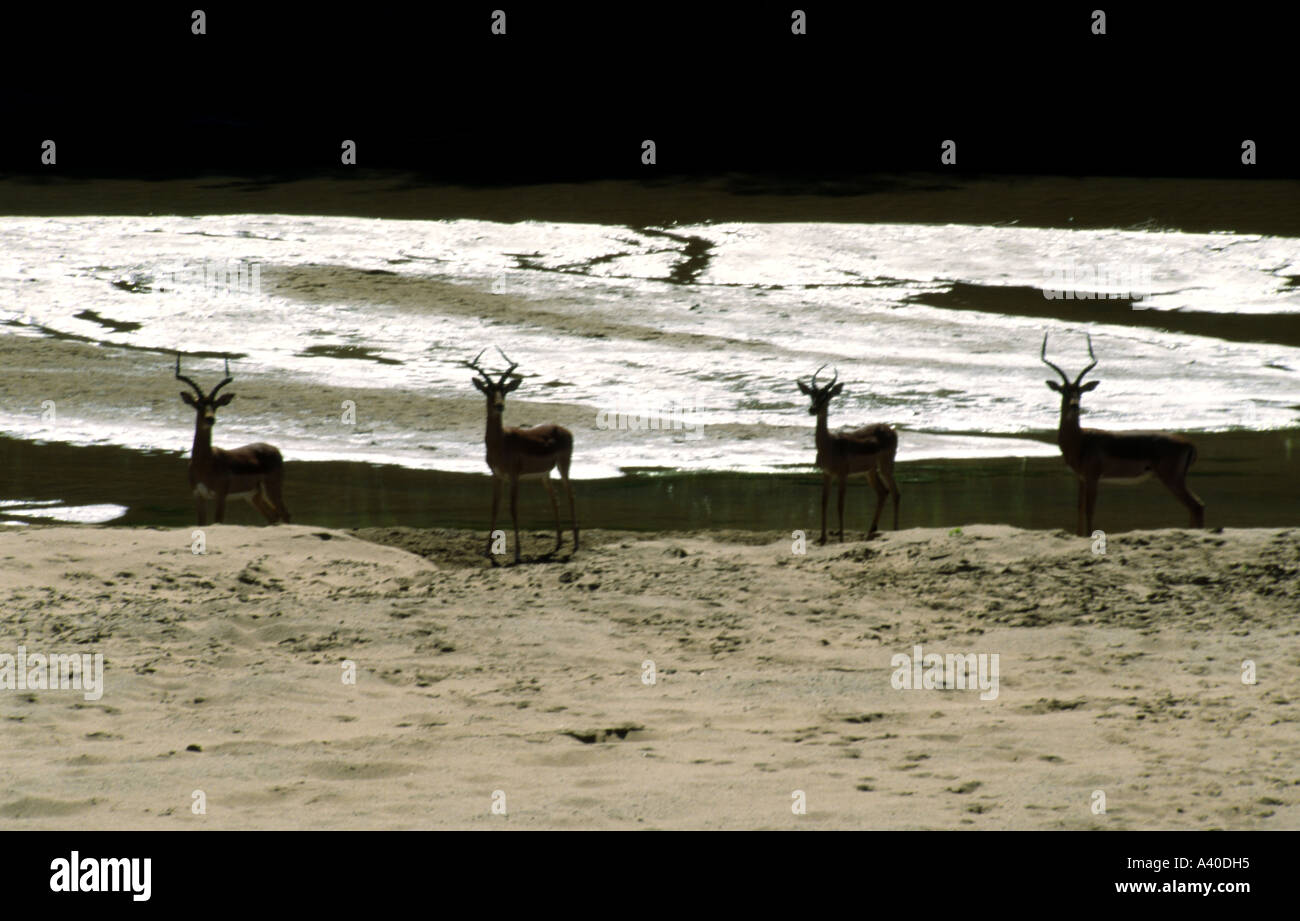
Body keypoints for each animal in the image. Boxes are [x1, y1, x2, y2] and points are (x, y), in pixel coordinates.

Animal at [175, 354, 290, 525]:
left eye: (215, 405)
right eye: (198, 405)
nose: (210, 419)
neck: (205, 462)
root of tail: (275, 449)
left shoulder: (221, 495)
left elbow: (218, 521)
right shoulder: (198, 496)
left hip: (272, 488)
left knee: (285, 515)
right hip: (253, 495)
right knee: (274, 516)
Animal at [466, 348, 577, 564]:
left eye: (504, 390)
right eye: (488, 390)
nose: (499, 405)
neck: (501, 442)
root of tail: (564, 430)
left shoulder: (514, 476)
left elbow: (513, 508)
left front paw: (517, 554)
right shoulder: (497, 475)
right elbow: (494, 507)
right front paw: (487, 552)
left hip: (563, 466)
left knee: (570, 495)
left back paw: (576, 545)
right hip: (545, 474)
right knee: (555, 498)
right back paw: (558, 544)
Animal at [797, 365, 900, 544]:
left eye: (826, 396)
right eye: (812, 395)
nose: (812, 409)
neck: (829, 444)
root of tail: (891, 430)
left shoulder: (842, 474)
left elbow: (840, 504)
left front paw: (841, 538)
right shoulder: (827, 474)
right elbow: (824, 502)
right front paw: (822, 538)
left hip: (885, 467)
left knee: (895, 493)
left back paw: (894, 531)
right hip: (870, 472)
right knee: (883, 492)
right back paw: (870, 532)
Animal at [1040, 332, 1204, 536]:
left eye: (1080, 392)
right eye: (1063, 391)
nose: (1074, 406)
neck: (1081, 440)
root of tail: (1190, 444)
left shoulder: (1093, 478)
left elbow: (1089, 510)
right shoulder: (1082, 479)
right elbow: (1079, 509)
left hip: (1172, 479)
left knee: (1197, 506)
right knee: (1194, 507)